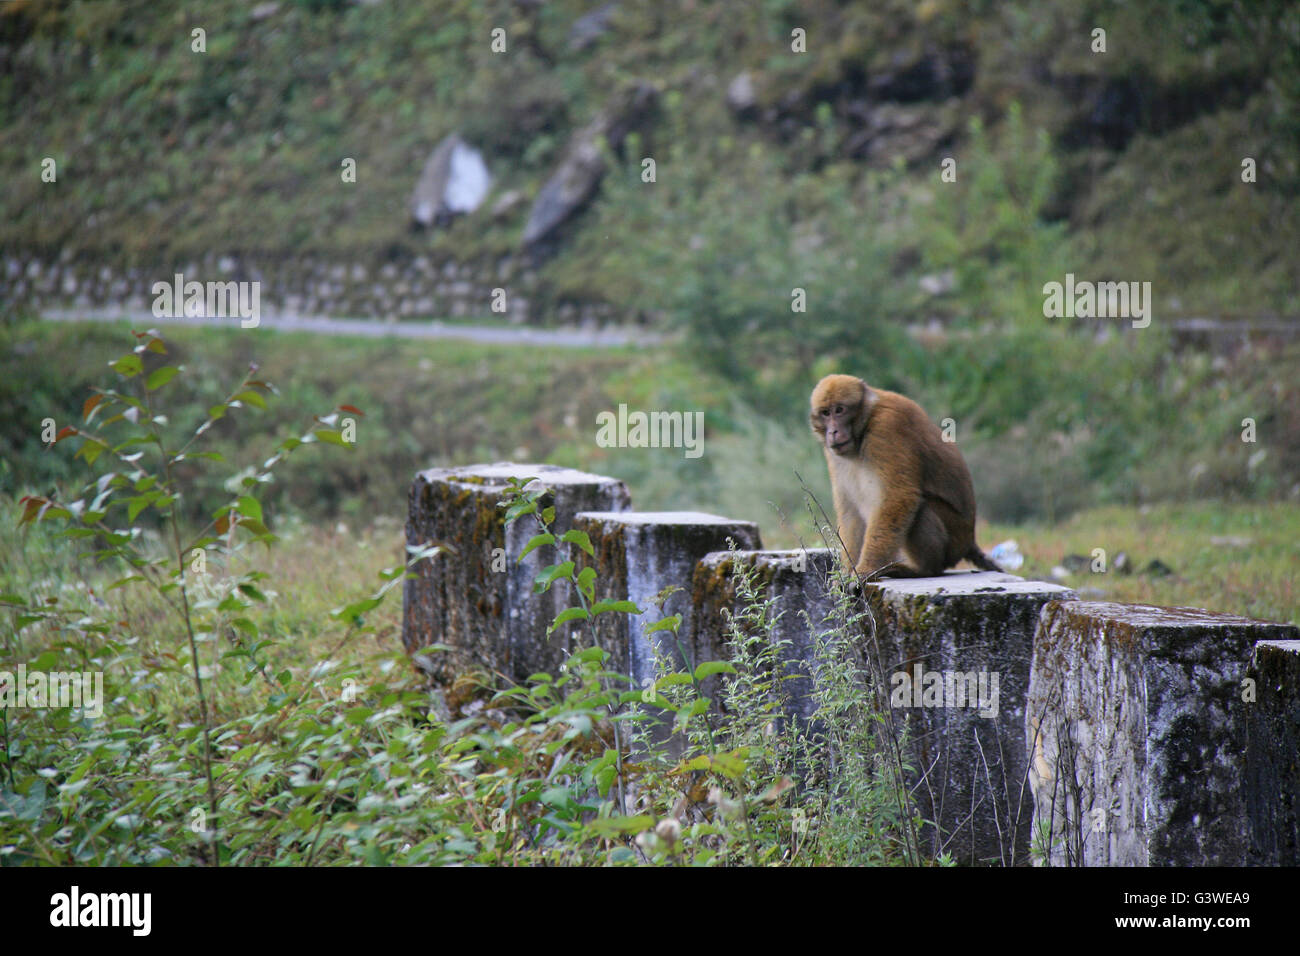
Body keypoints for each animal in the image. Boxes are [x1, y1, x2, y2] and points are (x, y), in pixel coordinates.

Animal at [809, 374, 1001, 579]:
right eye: (825, 413)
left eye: (839, 410)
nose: (833, 431)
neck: (867, 419)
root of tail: (968, 541)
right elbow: (850, 510)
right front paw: (845, 575)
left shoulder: (887, 428)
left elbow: (898, 496)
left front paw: (865, 569)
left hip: (953, 540)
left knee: (922, 507)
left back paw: (923, 570)